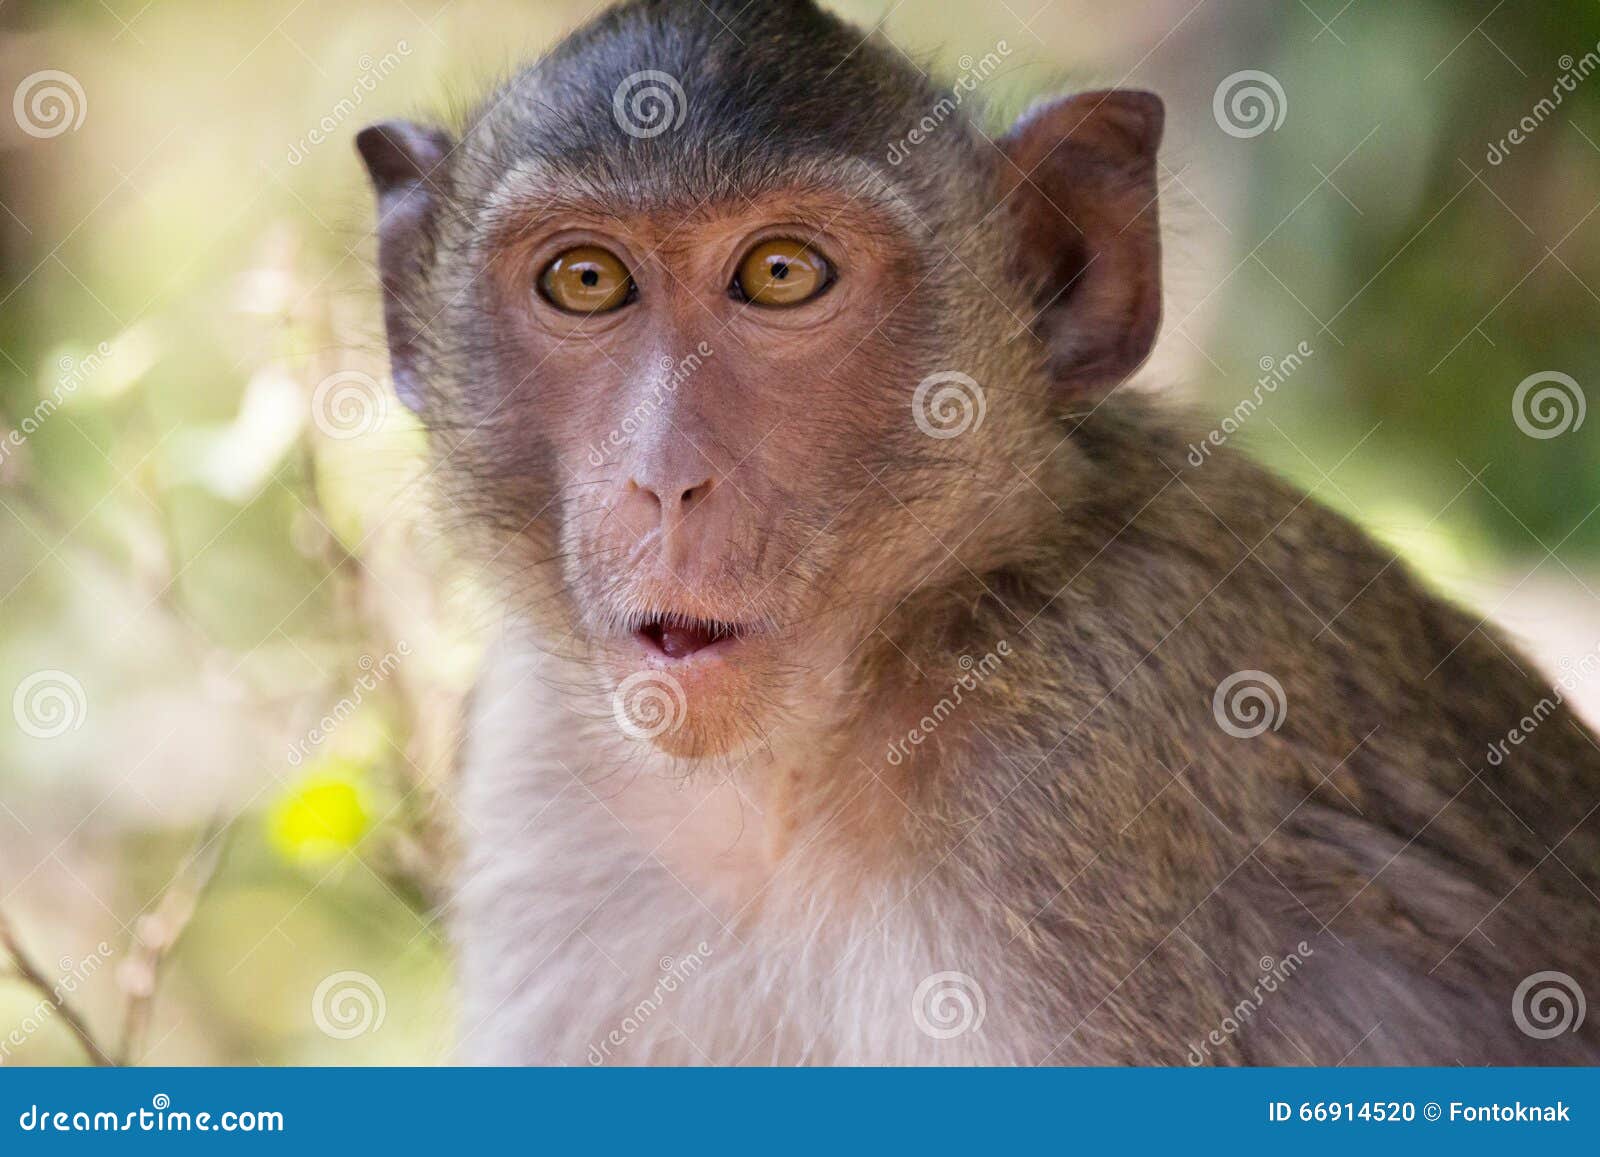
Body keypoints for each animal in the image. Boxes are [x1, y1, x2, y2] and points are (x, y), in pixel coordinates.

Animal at [355, 0, 1600, 1065]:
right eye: (585, 279)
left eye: (780, 273)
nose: (664, 480)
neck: (797, 765)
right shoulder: (530, 753)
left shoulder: (1065, 777)